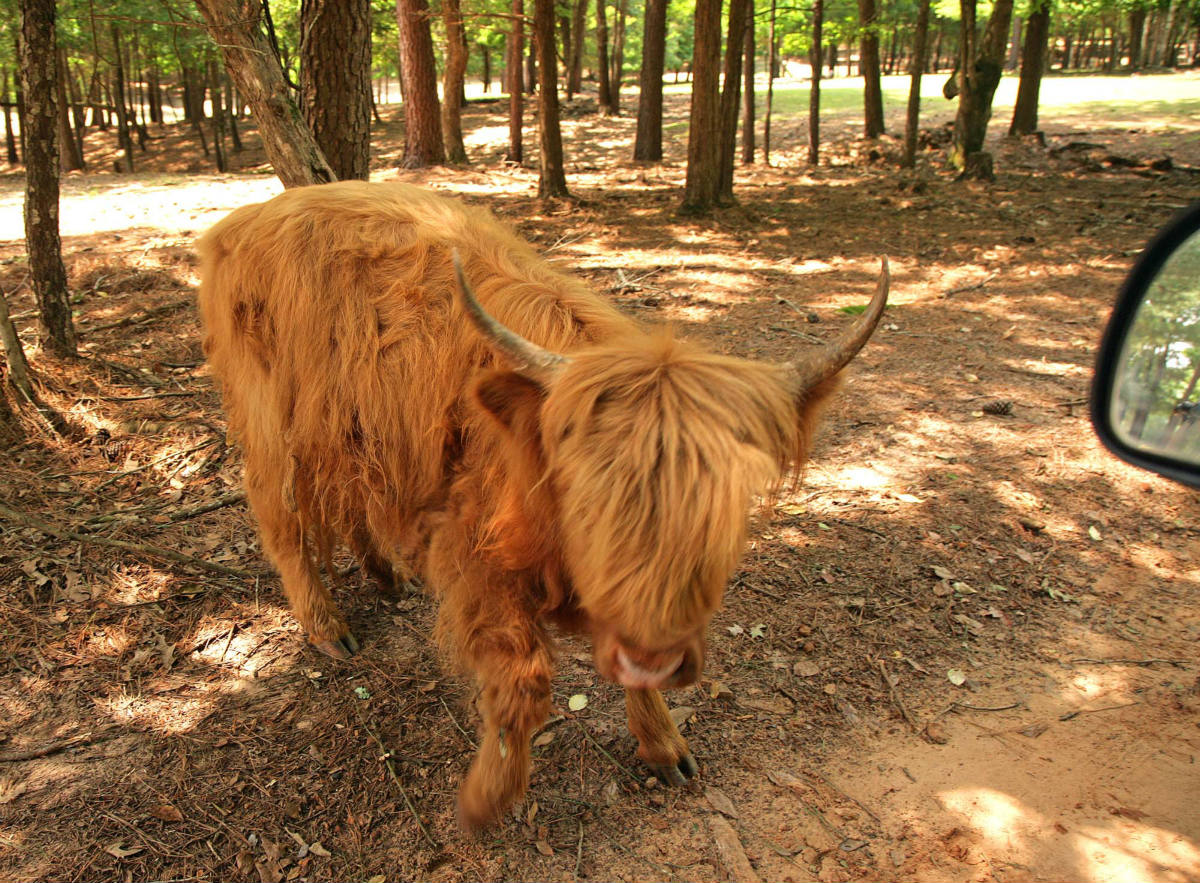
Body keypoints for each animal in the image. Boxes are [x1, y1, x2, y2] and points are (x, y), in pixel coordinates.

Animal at [197, 181, 888, 829]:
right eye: (591, 499)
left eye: (718, 513)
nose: (657, 652)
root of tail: (242, 220)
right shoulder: (479, 557)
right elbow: (526, 684)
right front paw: (488, 797)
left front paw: (664, 746)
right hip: (273, 421)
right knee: (281, 518)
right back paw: (327, 627)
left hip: (354, 426)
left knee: (354, 499)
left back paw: (385, 576)